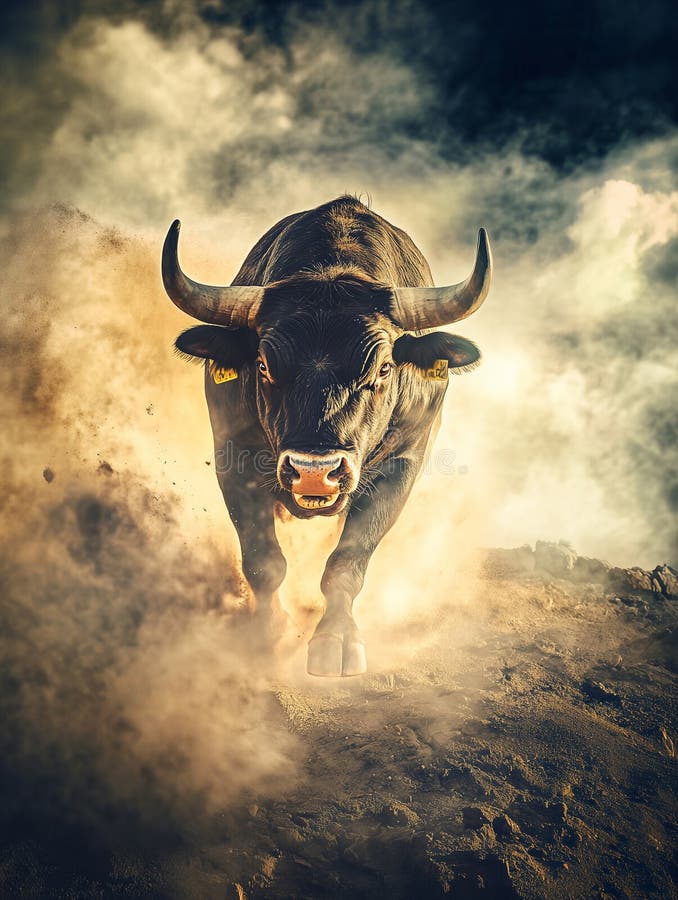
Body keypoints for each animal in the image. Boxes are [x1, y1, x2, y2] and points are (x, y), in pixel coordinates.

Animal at [162, 196, 492, 676]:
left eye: (383, 368)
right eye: (264, 365)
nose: (315, 473)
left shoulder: (402, 467)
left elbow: (347, 562)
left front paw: (335, 639)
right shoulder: (232, 456)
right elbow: (263, 561)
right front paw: (265, 635)